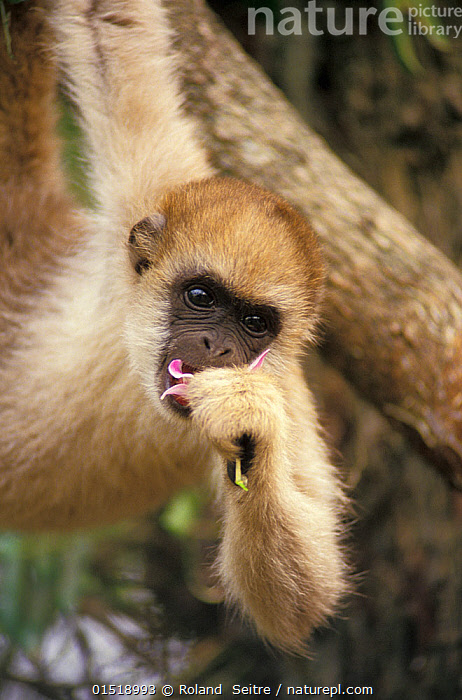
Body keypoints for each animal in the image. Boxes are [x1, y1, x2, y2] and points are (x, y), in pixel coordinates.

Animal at [0, 0, 347, 652]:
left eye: (255, 322)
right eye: (200, 297)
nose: (216, 345)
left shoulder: (280, 382)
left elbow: (302, 600)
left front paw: (246, 426)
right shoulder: (150, 189)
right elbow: (109, 28)